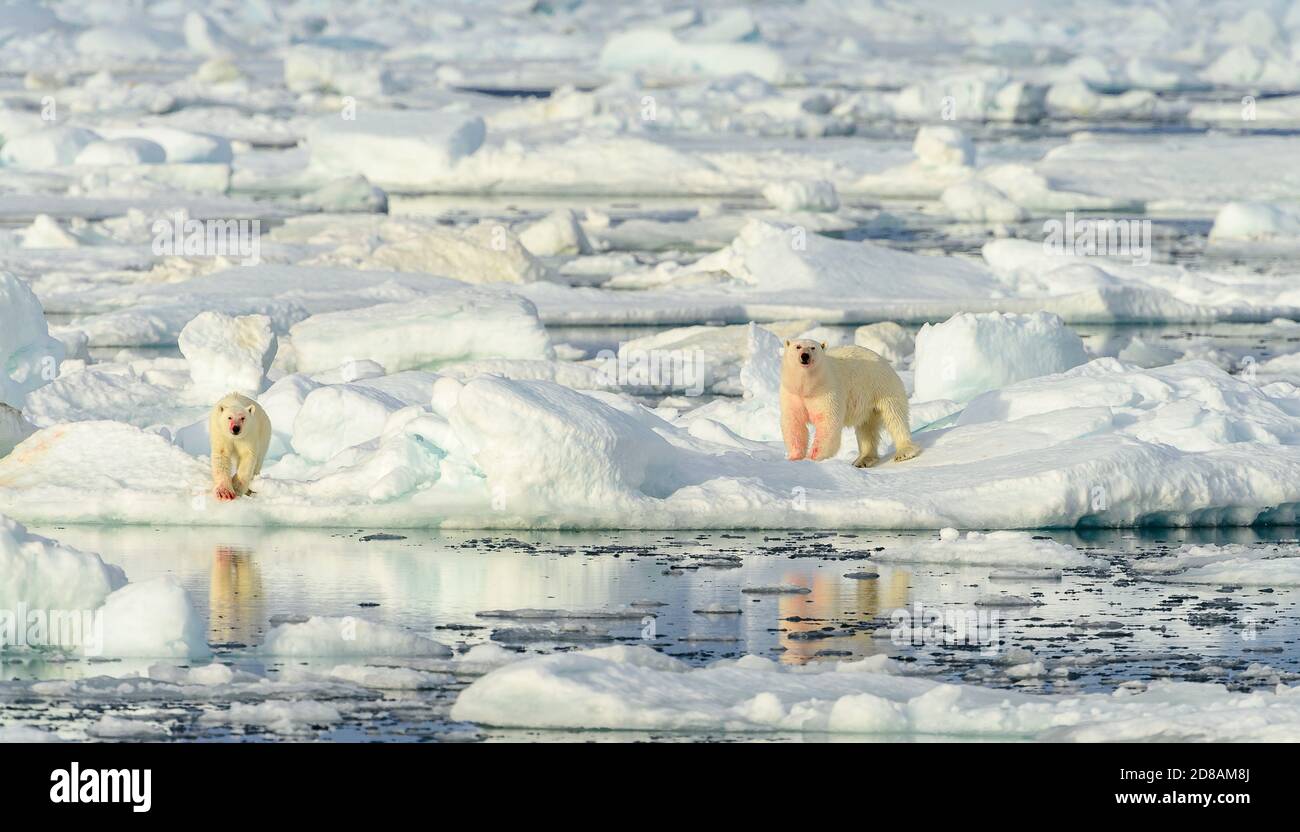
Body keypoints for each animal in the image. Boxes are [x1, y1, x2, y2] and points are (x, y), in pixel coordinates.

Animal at [780, 339, 919, 467]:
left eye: (813, 347)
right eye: (798, 346)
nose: (805, 356)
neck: (807, 387)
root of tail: (886, 362)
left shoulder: (827, 390)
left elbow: (827, 422)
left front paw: (814, 457)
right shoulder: (792, 395)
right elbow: (794, 423)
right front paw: (795, 456)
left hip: (882, 387)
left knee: (895, 416)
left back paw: (904, 452)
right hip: (869, 404)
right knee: (866, 428)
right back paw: (863, 459)